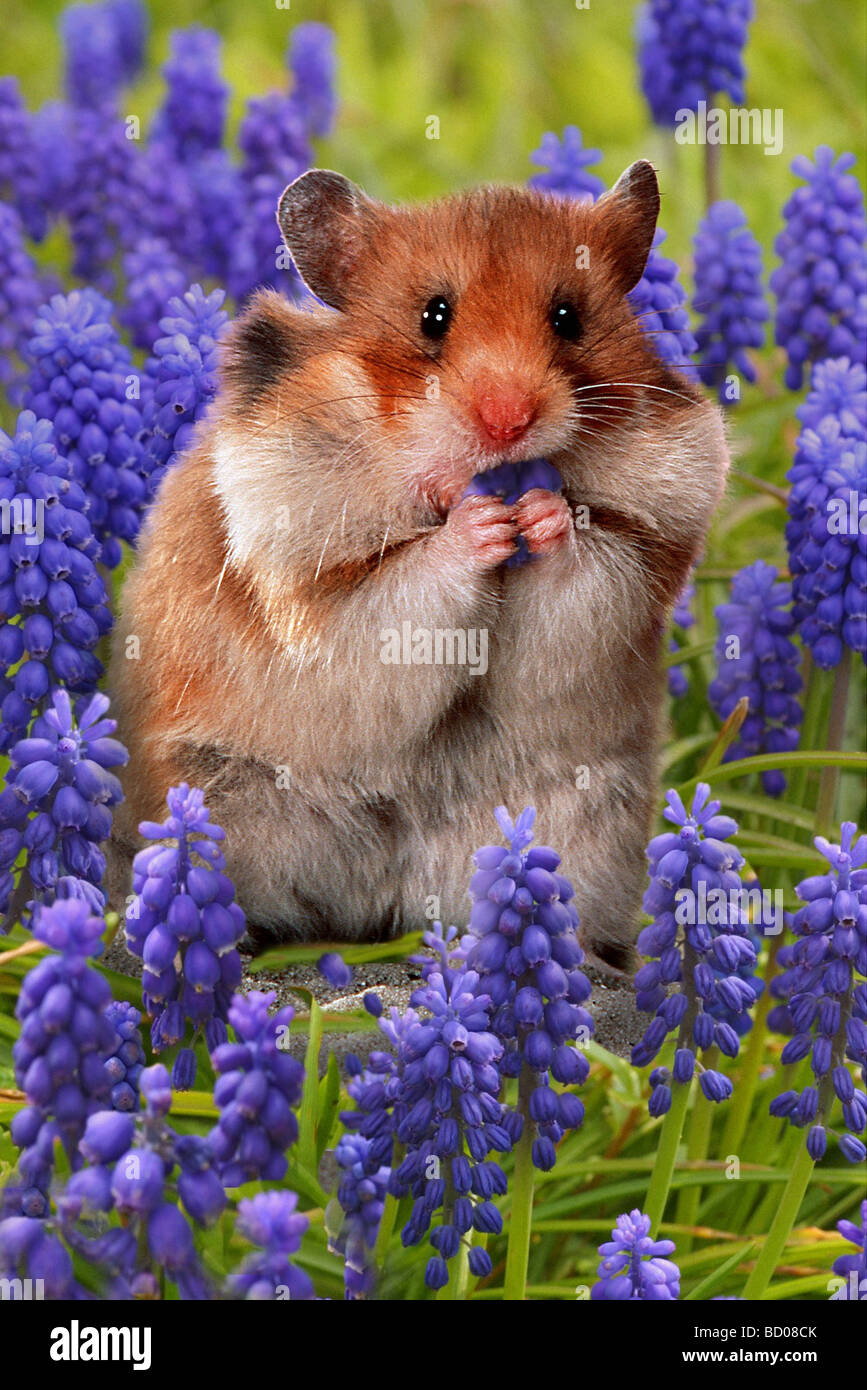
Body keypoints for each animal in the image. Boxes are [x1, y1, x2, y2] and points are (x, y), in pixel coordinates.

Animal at [106, 161, 728, 974]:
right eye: (433, 316)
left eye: (568, 317)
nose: (508, 421)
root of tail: (368, 914)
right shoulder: (314, 586)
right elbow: (409, 581)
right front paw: (477, 522)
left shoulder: (642, 554)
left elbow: (584, 569)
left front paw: (542, 514)